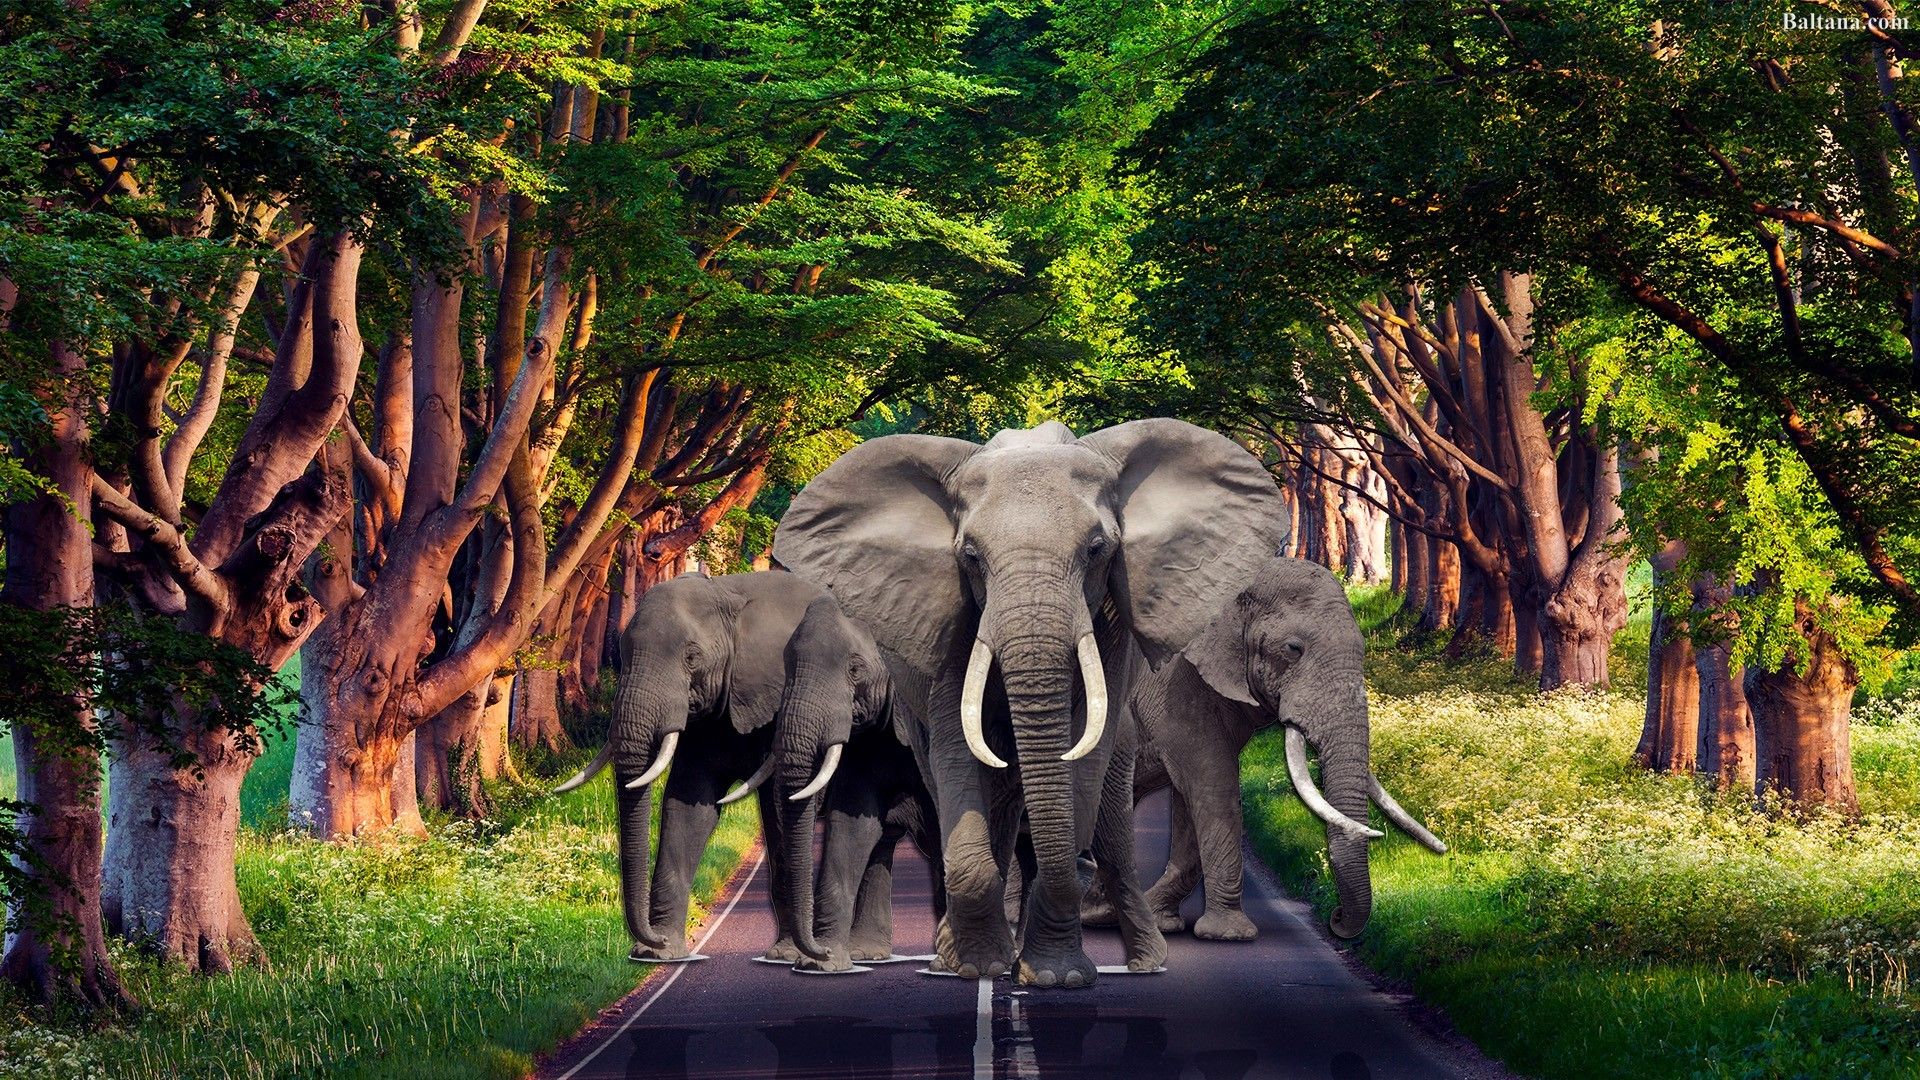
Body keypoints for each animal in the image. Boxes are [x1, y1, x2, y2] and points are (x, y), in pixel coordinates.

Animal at [553, 570, 835, 963]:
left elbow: (782, 806)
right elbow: (688, 804)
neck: (729, 594)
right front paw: (659, 953)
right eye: (622, 655)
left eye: (691, 657)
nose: (650, 940)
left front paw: (786, 955)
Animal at [769, 595, 945, 972]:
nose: (817, 949)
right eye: (787, 669)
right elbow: (852, 828)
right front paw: (823, 964)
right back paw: (867, 954)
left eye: (855, 670)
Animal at [1103, 557, 1447, 942]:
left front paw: (1163, 921)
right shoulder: (1172, 683)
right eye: (1293, 649)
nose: (1336, 919)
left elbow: (1192, 800)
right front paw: (1230, 936)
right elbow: (1213, 786)